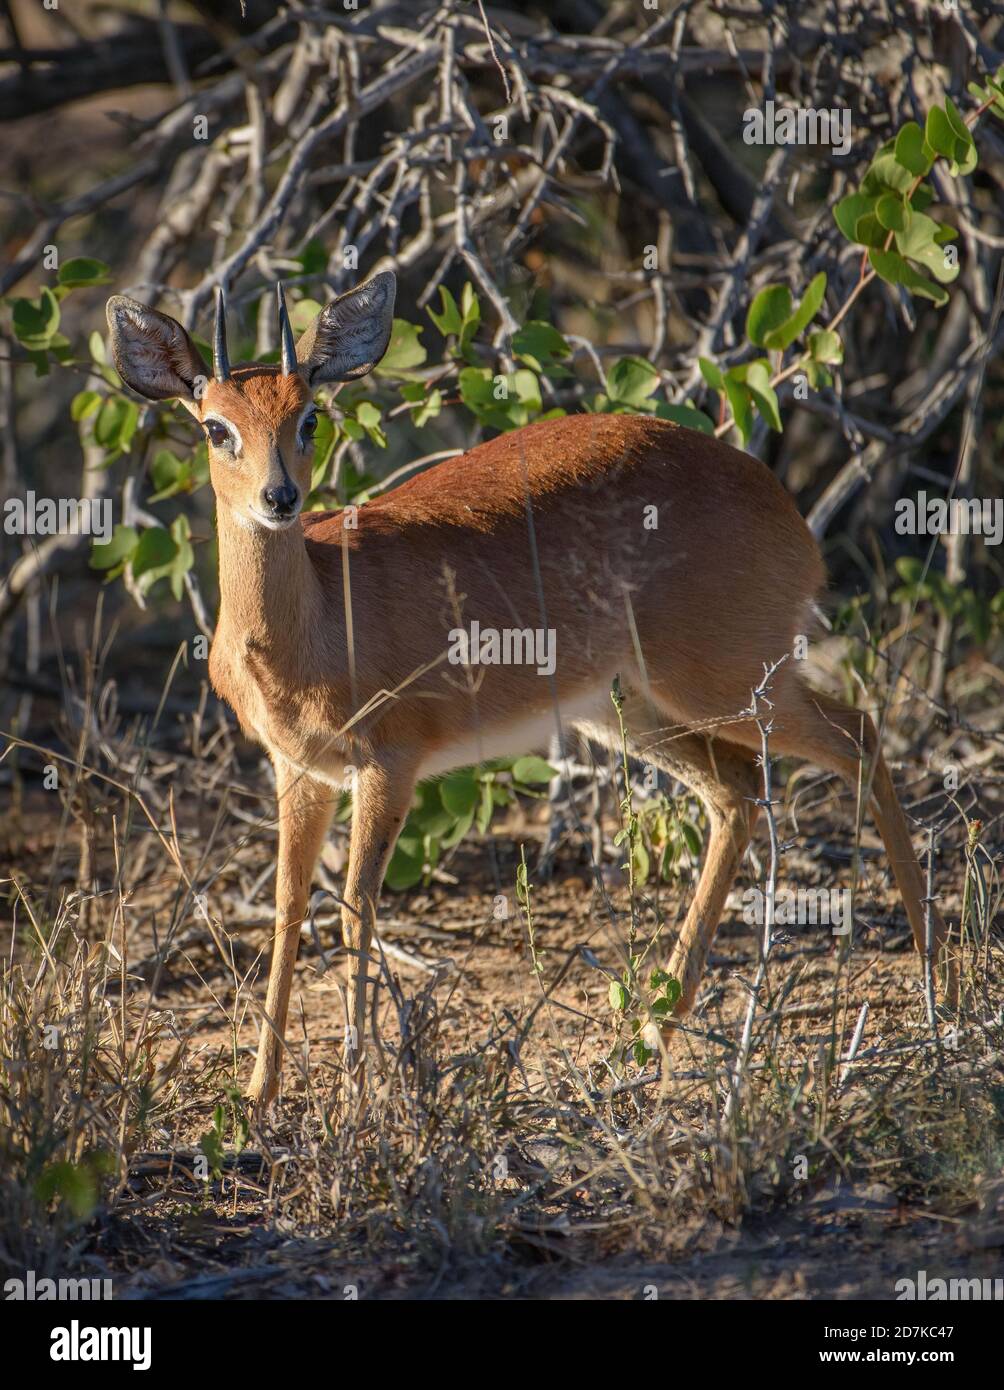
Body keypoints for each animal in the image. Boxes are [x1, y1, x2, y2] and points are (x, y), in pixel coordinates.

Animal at [105, 272, 954, 1110]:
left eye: (310, 416)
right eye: (216, 427)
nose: (279, 499)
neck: (314, 615)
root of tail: (786, 510)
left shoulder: (389, 763)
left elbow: (354, 914)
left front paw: (355, 1097)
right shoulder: (300, 772)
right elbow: (287, 913)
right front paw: (258, 1095)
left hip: (727, 680)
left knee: (860, 737)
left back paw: (934, 991)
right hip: (627, 709)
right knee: (739, 789)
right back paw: (651, 1034)